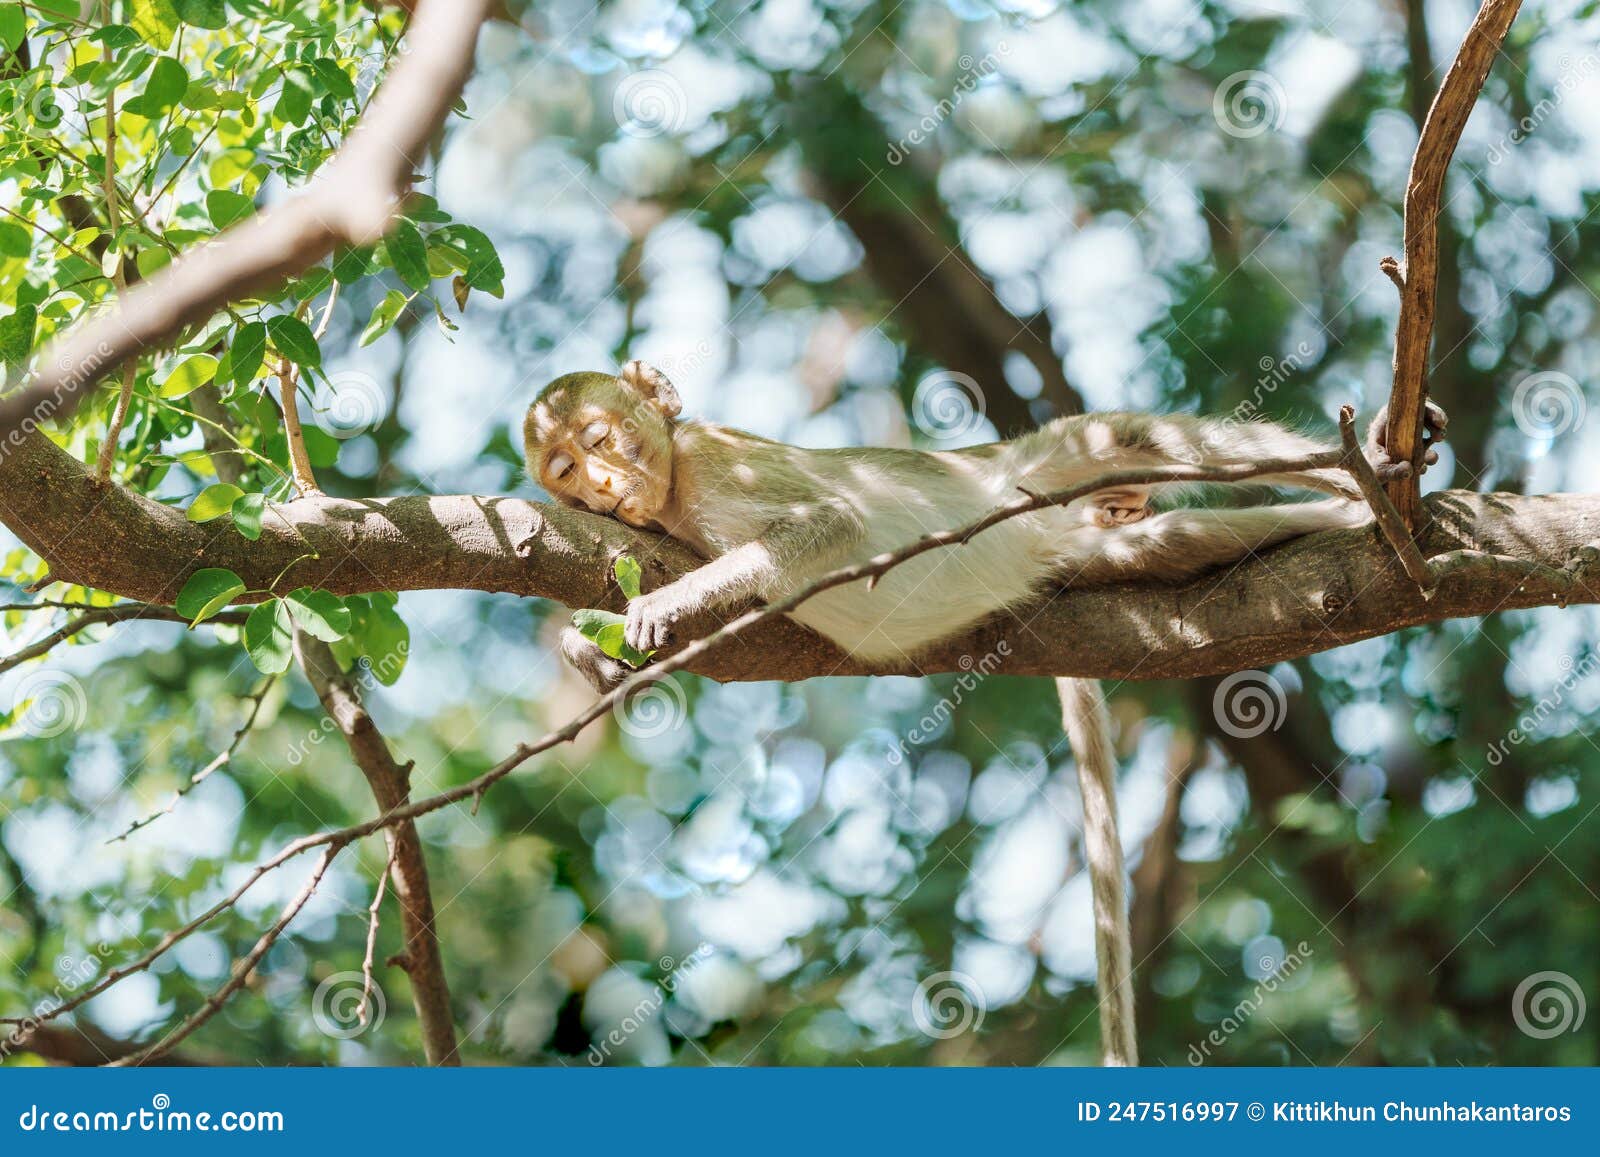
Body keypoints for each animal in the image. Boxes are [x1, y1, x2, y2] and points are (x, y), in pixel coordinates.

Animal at [524, 359, 1446, 1064]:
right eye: (566, 475)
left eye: (599, 442)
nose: (602, 487)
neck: (676, 493)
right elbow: (736, 654)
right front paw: (587, 649)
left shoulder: (719, 466)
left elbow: (833, 524)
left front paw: (662, 602)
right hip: (1074, 546)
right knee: (1168, 542)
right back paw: (1338, 508)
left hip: (1032, 473)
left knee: (1129, 439)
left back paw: (1367, 479)